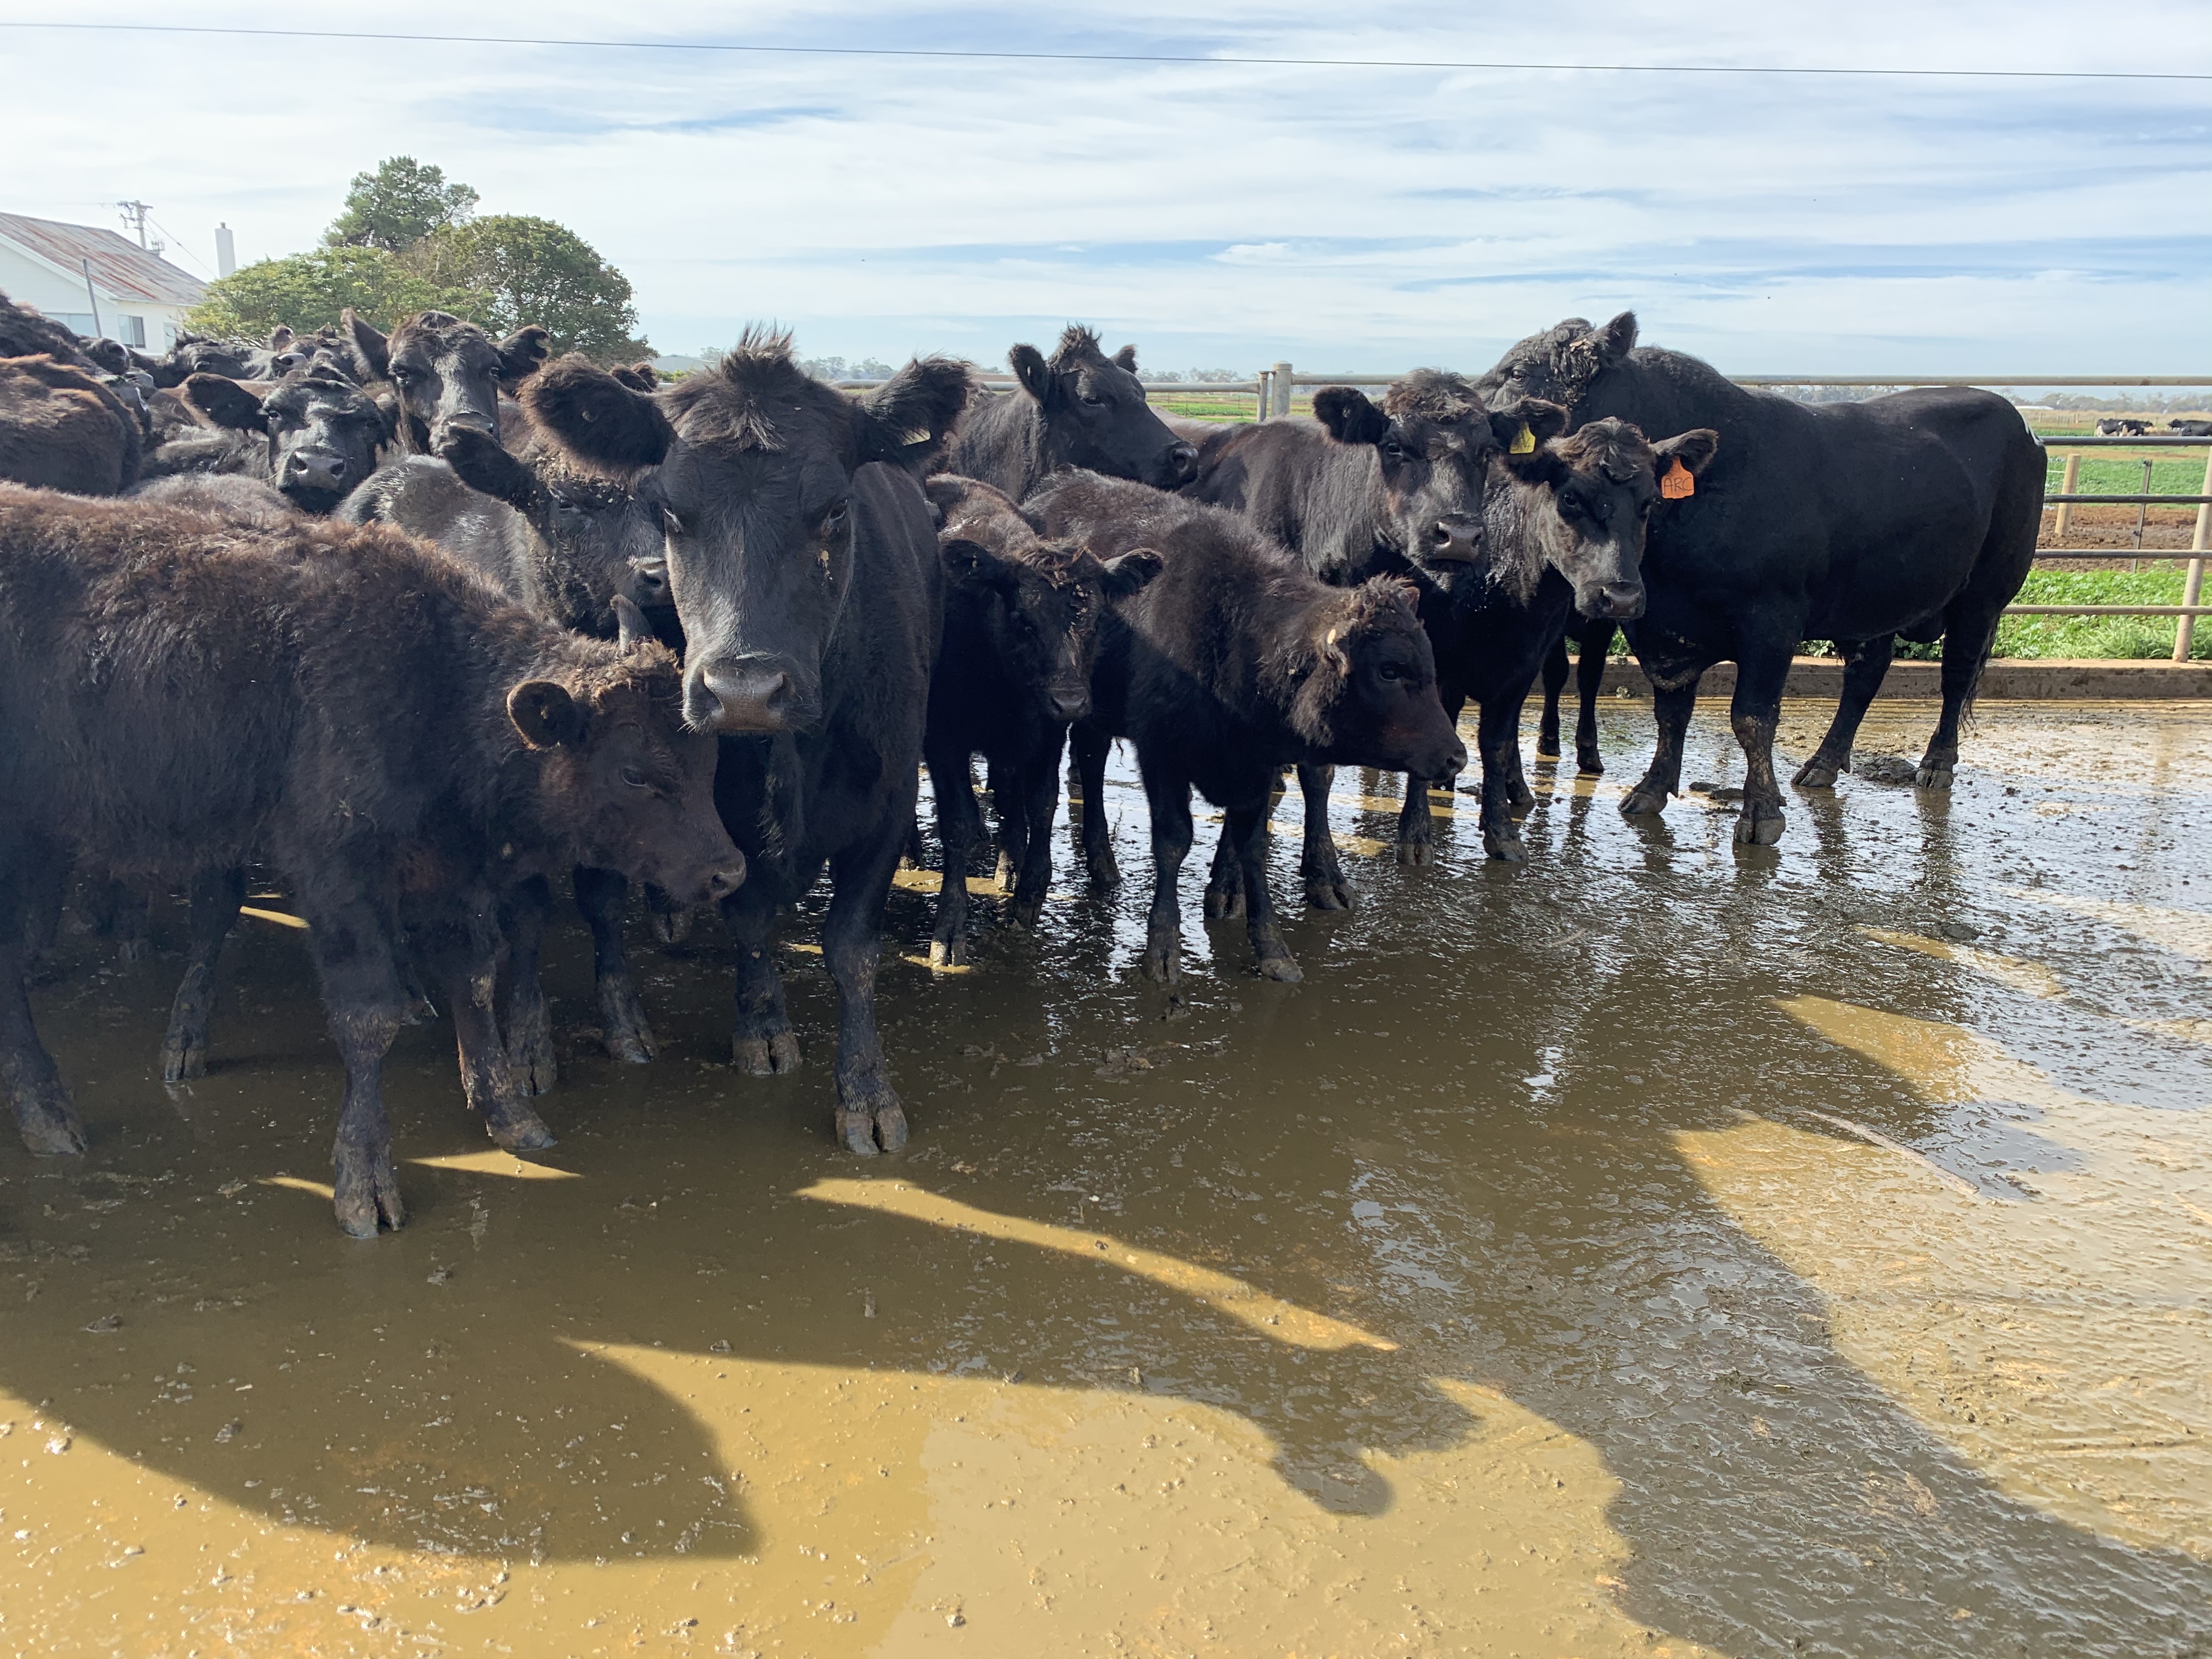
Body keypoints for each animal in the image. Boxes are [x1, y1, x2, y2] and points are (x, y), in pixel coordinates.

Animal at [0, 484, 744, 1235]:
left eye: (708, 756)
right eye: (633, 773)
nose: (728, 872)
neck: (433, 680)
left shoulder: (449, 875)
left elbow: (474, 982)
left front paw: (511, 1116)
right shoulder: (340, 879)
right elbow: (369, 1017)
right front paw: (366, 1186)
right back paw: (50, 1116)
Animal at [522, 332, 973, 1156]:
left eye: (835, 509)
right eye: (669, 511)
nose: (743, 692)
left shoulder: (889, 801)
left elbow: (852, 949)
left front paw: (866, 1093)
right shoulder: (720, 812)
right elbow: (750, 919)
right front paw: (761, 1027)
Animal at [919, 475, 1161, 967]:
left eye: (1096, 620)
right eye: (1022, 619)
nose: (1070, 701)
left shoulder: (1046, 736)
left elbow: (1042, 804)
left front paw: (1030, 890)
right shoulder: (943, 738)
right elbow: (956, 823)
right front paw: (949, 928)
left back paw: (1008, 865)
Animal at [1026, 471, 1465, 987]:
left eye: (1429, 665)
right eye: (1390, 670)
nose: (1457, 755)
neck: (1232, 636)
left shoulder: (1256, 769)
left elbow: (1253, 846)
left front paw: (1272, 947)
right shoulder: (1161, 755)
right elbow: (1173, 842)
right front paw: (1163, 949)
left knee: (1091, 762)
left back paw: (1102, 864)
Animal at [1476, 314, 2043, 843]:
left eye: (1519, 371)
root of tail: (2023, 427)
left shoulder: (1772, 621)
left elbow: (1753, 718)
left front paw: (1761, 813)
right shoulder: (1661, 627)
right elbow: (1671, 711)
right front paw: (1651, 790)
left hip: (1986, 595)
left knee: (1957, 677)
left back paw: (1936, 765)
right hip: (1871, 602)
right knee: (1866, 673)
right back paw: (1822, 764)